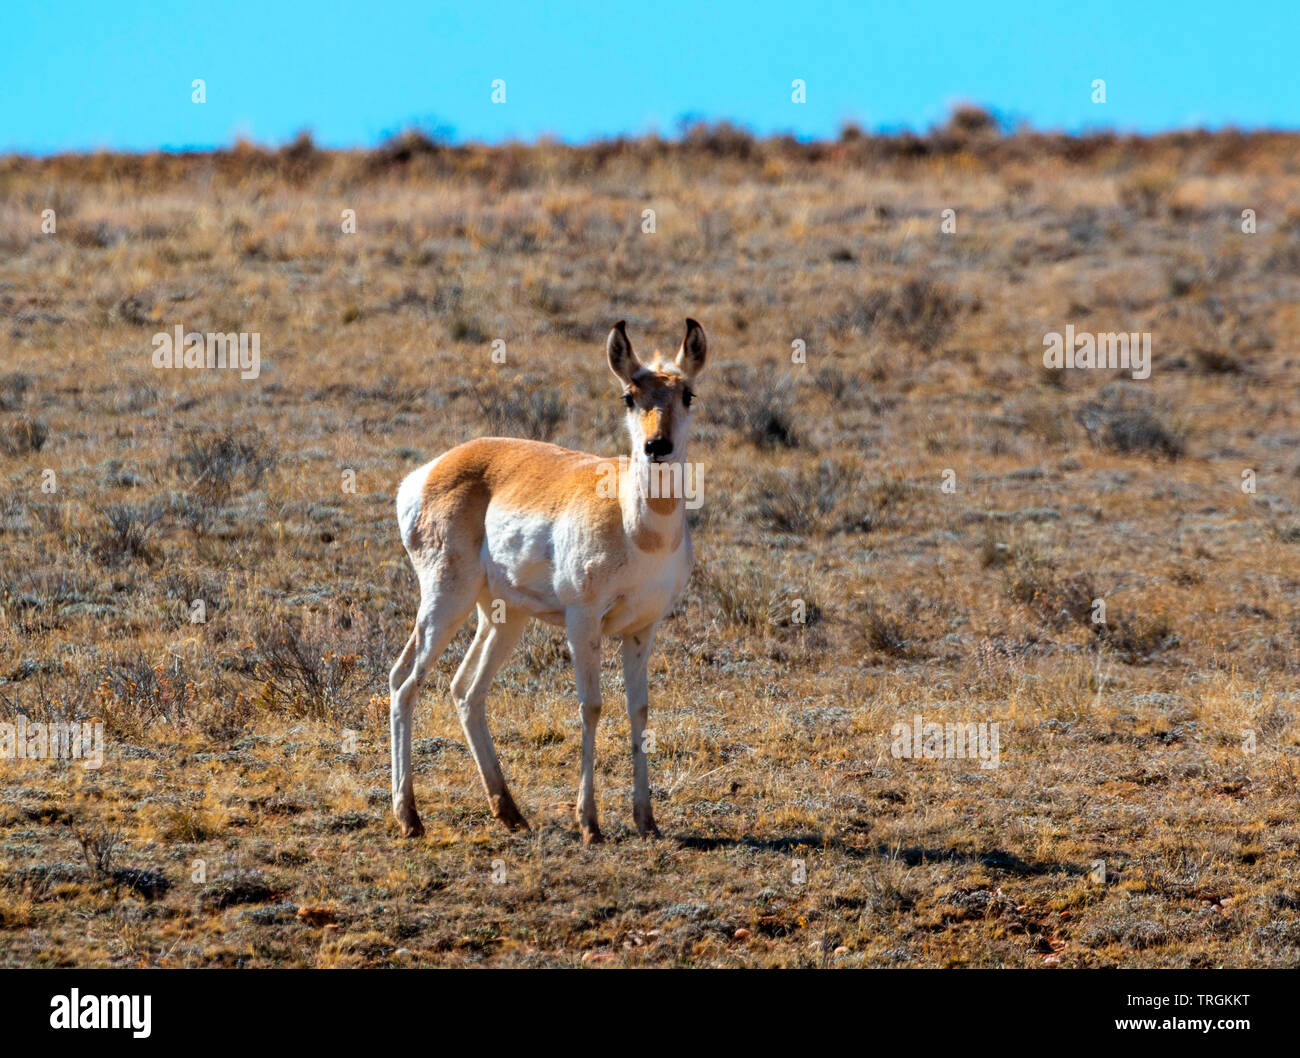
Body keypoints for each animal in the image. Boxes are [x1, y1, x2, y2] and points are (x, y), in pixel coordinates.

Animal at [389, 318, 707, 843]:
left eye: (687, 394)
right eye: (629, 395)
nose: (656, 447)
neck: (635, 526)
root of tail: (430, 470)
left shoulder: (642, 629)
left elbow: (639, 710)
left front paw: (647, 821)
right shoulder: (584, 622)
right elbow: (591, 706)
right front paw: (590, 823)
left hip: (503, 617)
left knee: (465, 689)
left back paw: (510, 812)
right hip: (446, 602)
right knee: (404, 681)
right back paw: (409, 817)